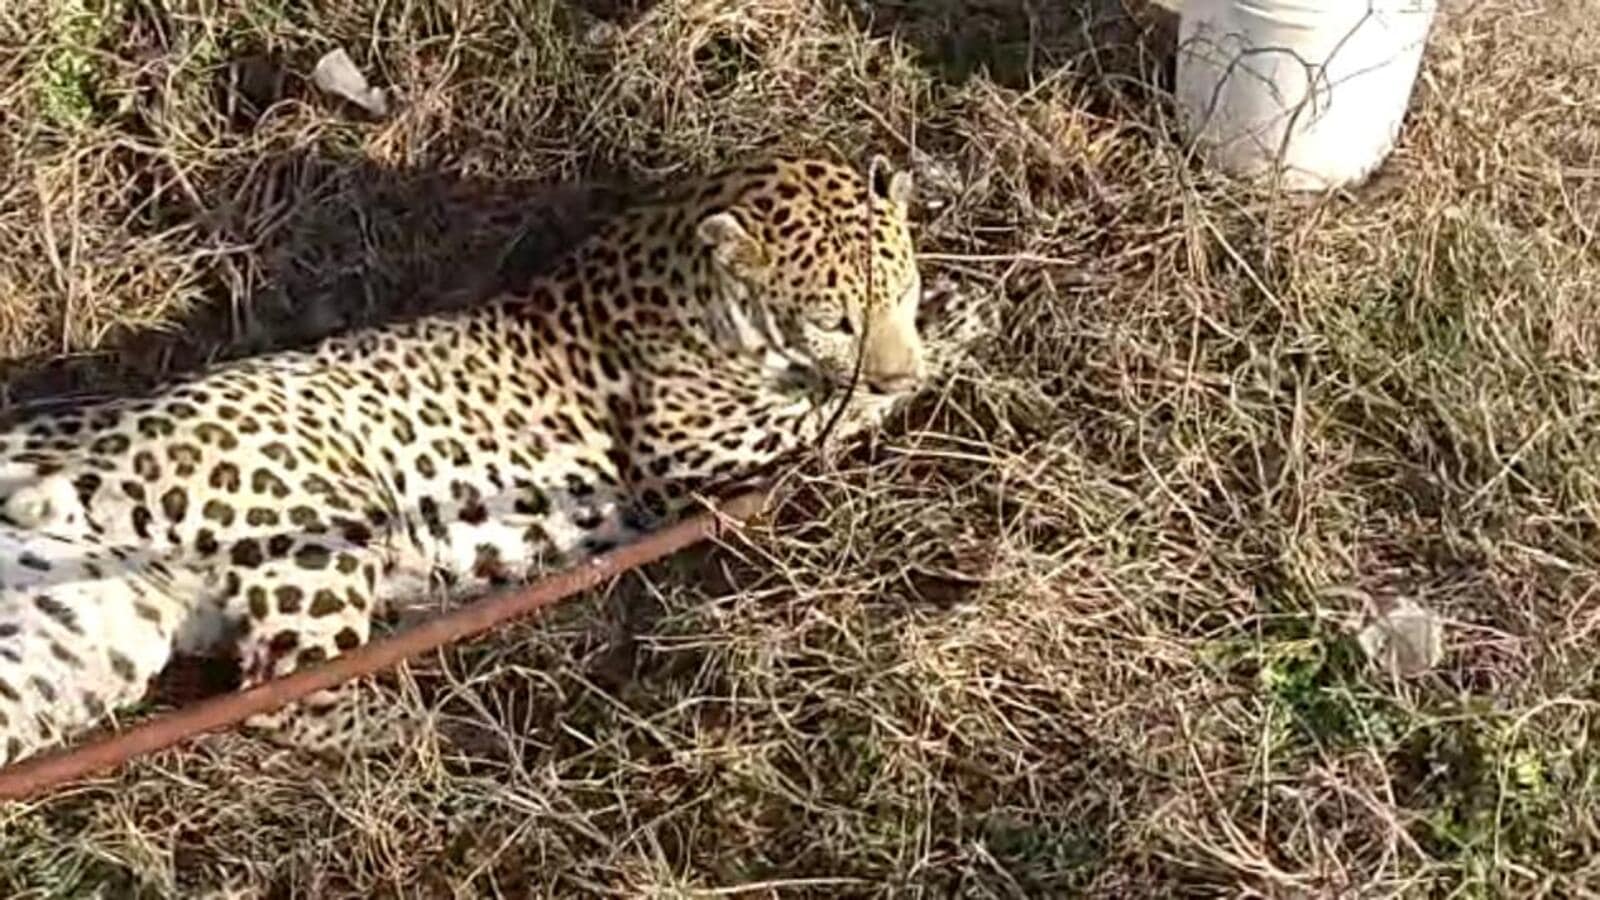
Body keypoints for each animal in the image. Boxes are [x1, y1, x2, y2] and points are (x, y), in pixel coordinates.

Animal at [0, 153, 986, 769]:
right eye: (834, 319)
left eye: (901, 291)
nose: (900, 359)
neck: (686, 273)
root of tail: (76, 433)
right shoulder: (686, 455)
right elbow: (825, 409)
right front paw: (956, 338)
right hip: (310, 535)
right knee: (284, 691)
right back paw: (434, 736)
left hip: (77, 632)